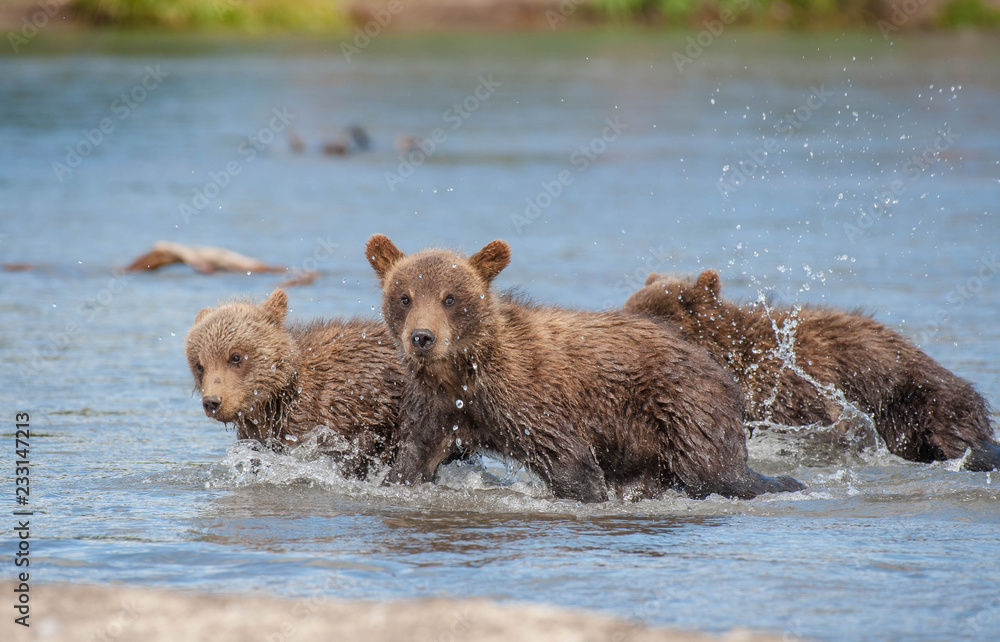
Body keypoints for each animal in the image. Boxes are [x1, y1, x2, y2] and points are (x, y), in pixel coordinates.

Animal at [364, 234, 804, 502]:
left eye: (450, 297)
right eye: (404, 296)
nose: (422, 337)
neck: (464, 372)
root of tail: (712, 362)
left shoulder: (529, 398)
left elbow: (570, 461)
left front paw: (590, 493)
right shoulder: (437, 407)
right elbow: (412, 461)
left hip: (683, 407)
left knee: (717, 471)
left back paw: (785, 481)